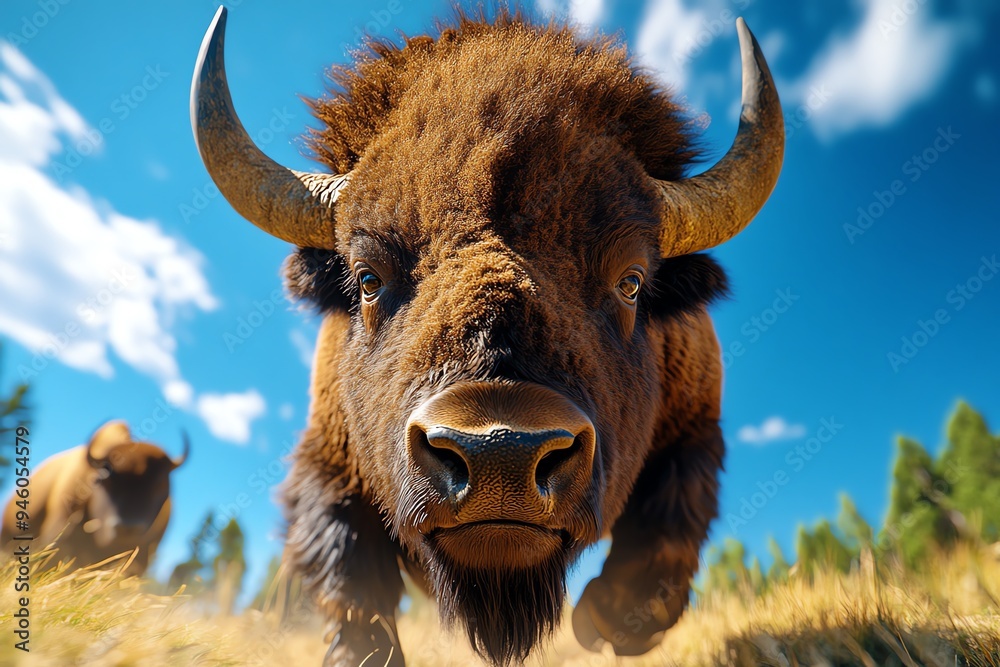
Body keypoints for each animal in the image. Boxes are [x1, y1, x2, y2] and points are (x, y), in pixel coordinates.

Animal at [190, 7, 783, 666]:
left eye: (631, 281)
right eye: (367, 277)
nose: (501, 452)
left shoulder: (693, 433)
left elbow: (665, 538)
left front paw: (602, 621)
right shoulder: (329, 461)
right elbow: (351, 579)